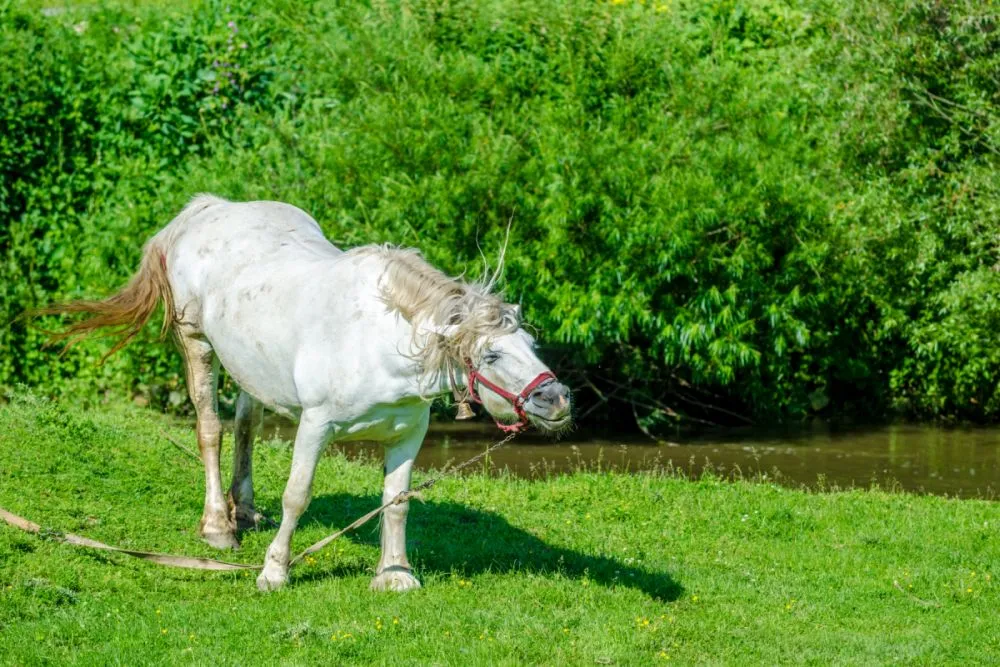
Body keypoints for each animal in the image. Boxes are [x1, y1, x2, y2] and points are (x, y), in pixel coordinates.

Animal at [39, 195, 573, 591]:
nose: (557, 400)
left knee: (246, 427)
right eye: (492, 355)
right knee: (210, 429)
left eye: (530, 346)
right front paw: (274, 571)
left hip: (249, 367)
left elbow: (397, 501)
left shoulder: (408, 432)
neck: (376, 341)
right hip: (197, 344)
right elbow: (297, 495)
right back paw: (218, 527)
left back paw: (244, 510)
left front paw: (394, 575)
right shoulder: (316, 425)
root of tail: (208, 208)